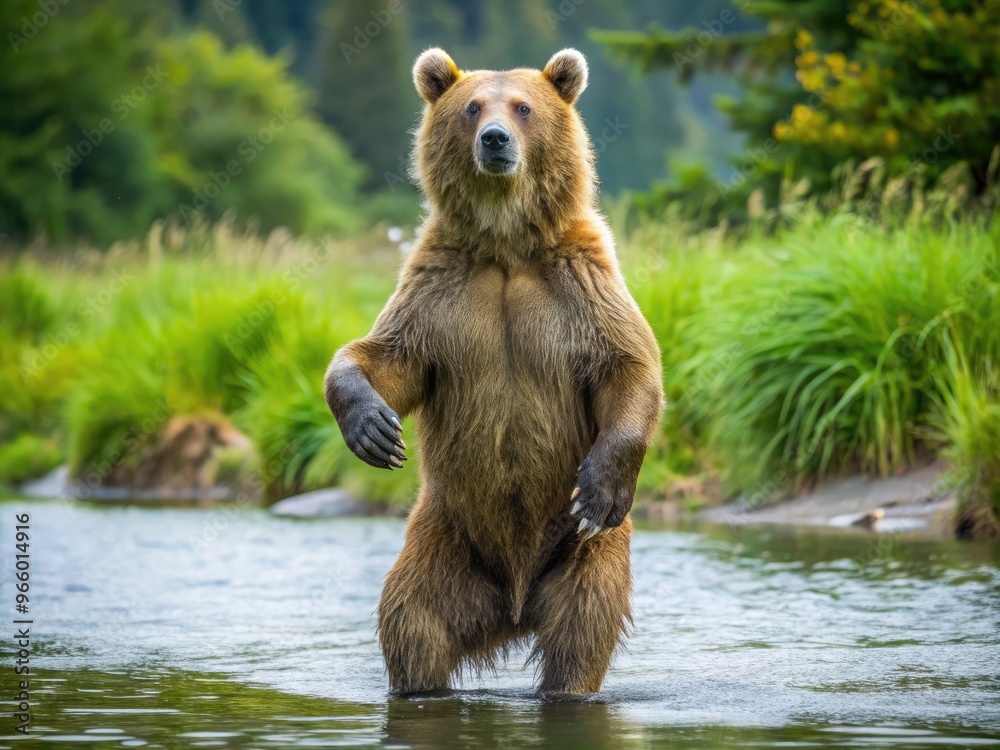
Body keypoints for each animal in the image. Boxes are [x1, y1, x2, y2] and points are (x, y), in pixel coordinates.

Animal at [324, 47, 663, 696]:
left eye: (524, 107)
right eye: (472, 107)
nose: (496, 138)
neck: (505, 245)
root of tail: (514, 608)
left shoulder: (582, 284)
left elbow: (627, 366)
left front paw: (600, 485)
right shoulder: (439, 289)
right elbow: (388, 357)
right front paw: (373, 427)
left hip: (579, 553)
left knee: (583, 624)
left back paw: (565, 683)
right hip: (443, 537)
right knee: (413, 620)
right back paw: (419, 683)